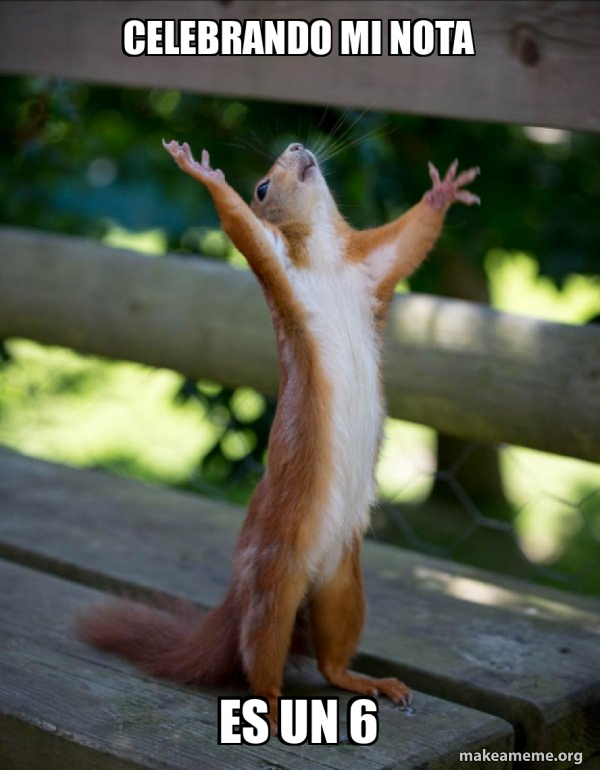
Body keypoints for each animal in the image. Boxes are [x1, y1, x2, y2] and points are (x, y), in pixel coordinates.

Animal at [77, 138, 479, 734]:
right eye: (262, 187)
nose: (296, 146)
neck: (326, 257)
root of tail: (239, 595)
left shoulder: (372, 267)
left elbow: (409, 241)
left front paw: (443, 192)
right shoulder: (277, 266)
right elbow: (240, 226)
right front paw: (204, 174)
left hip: (344, 586)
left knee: (332, 660)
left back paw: (368, 681)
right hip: (274, 583)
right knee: (259, 655)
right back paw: (268, 706)